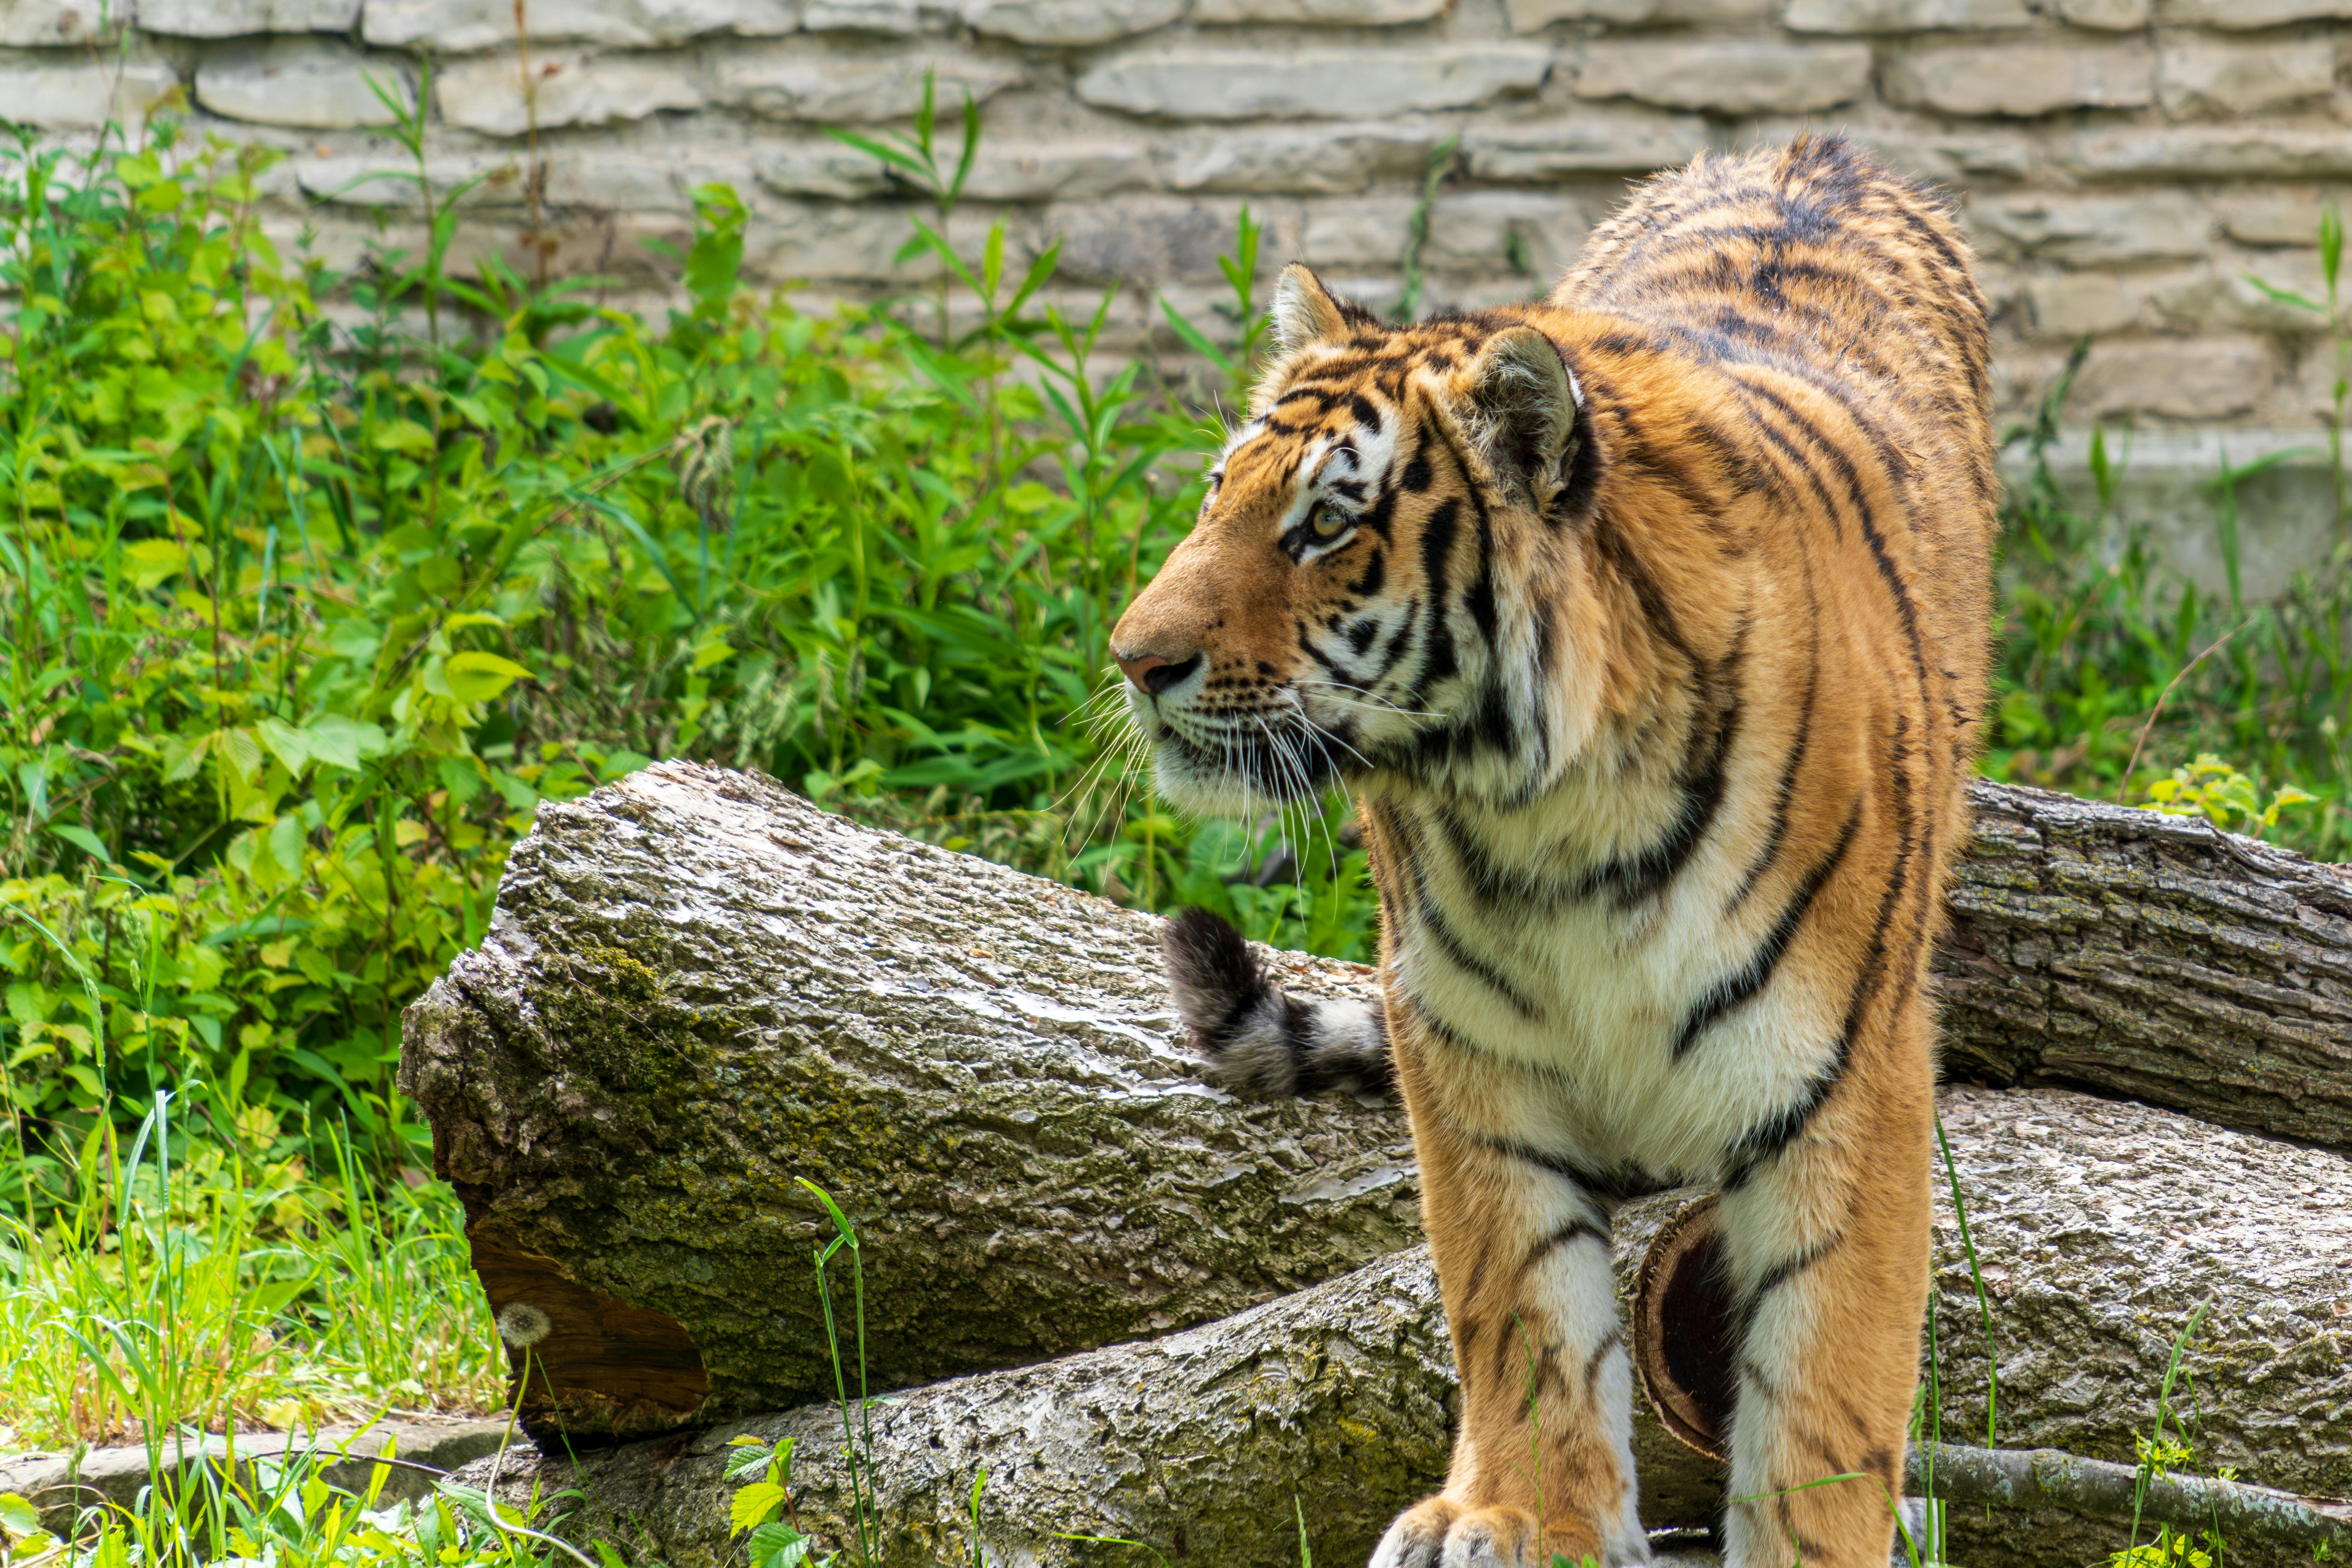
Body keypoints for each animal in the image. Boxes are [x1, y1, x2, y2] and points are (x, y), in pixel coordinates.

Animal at [1107, 134, 1993, 1567]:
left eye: (1322, 527)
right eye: (1214, 500)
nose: (1133, 660)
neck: (1550, 814)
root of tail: (1803, 148)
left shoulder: (1845, 1073)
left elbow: (1829, 1366)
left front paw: (1820, 1534)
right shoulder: (1467, 1047)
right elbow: (1515, 1296)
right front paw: (1513, 1514)